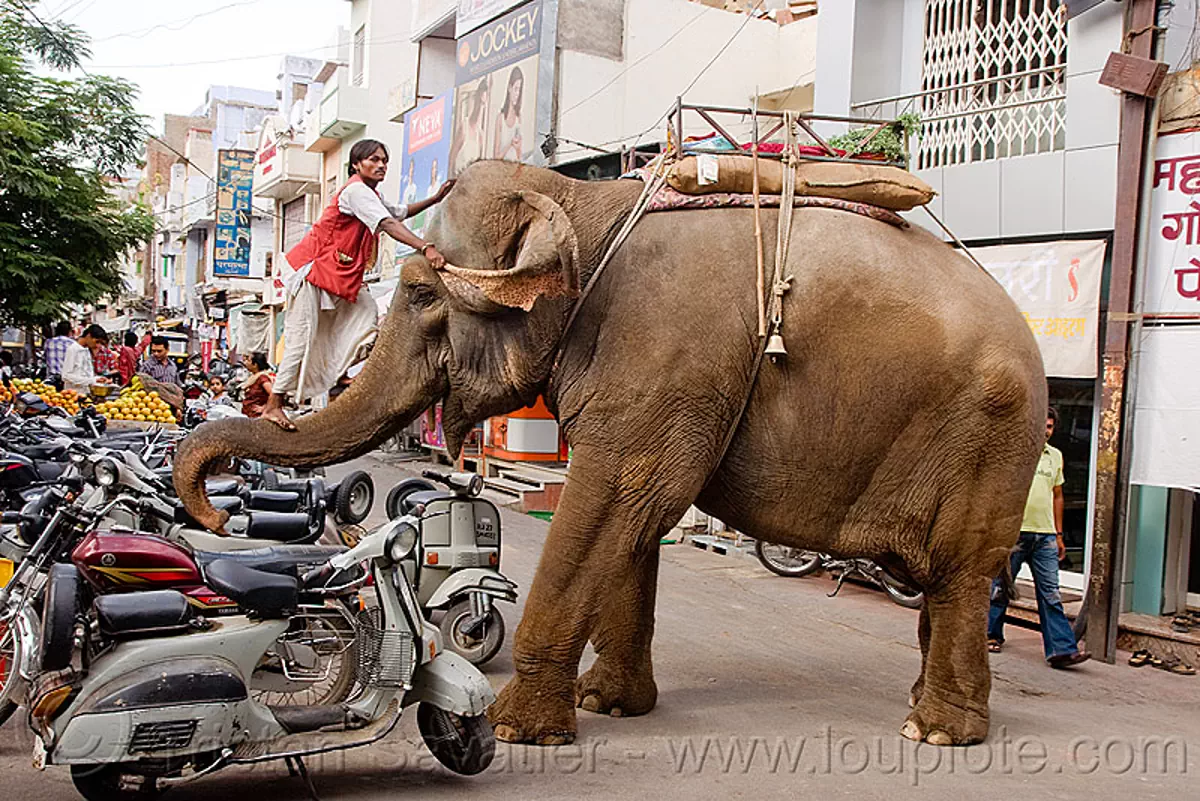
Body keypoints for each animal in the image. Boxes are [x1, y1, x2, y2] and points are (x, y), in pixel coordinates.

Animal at [175, 159, 1046, 747]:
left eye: (420, 293)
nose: (217, 505)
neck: (577, 201)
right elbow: (634, 521)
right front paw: (607, 704)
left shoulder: (662, 360)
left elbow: (619, 496)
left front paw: (520, 730)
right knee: (947, 584)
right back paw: (929, 710)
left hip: (990, 437)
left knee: (961, 575)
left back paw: (937, 731)